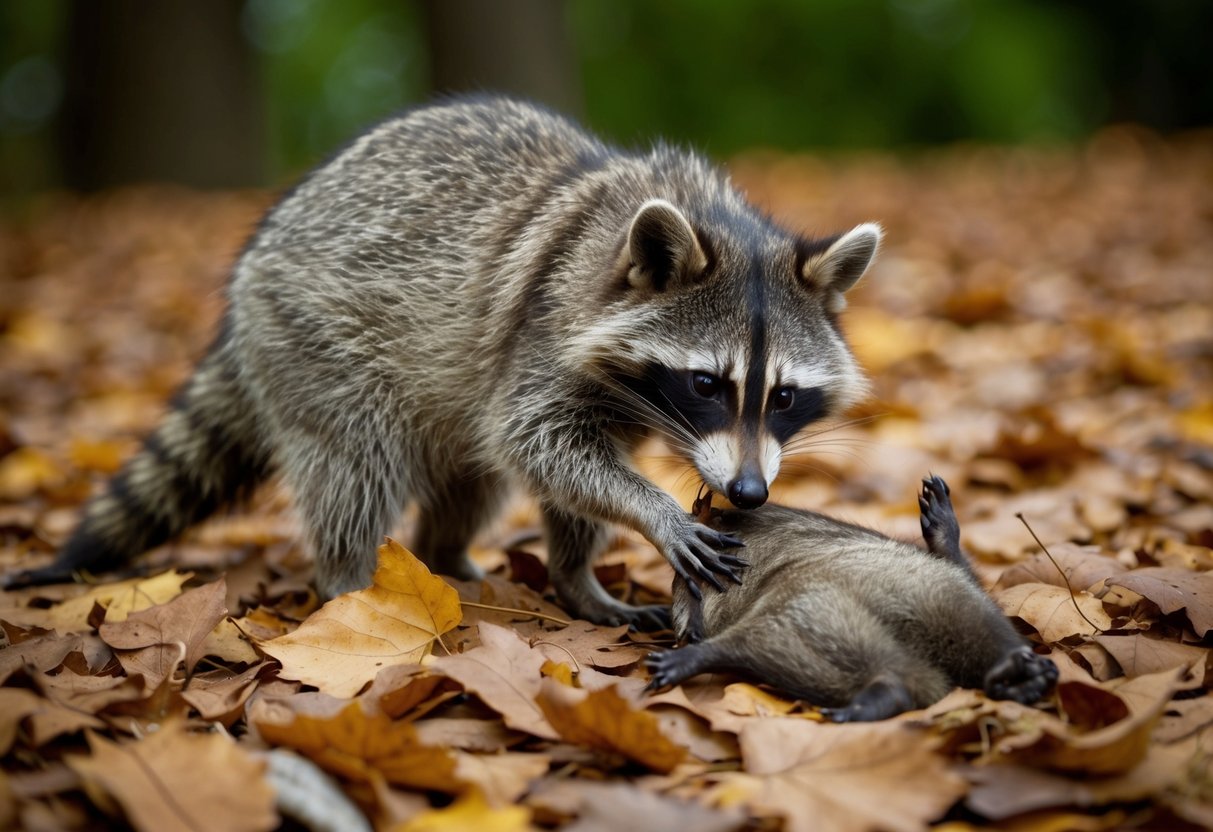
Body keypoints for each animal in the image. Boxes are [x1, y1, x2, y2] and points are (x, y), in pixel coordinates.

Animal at [5, 95, 881, 629]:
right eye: (706, 384)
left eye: (783, 398)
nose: (748, 491)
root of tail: (253, 263)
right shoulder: (544, 326)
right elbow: (543, 444)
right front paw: (651, 510)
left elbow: (559, 479)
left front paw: (577, 570)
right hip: (313, 339)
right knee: (357, 464)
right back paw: (352, 580)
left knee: (472, 475)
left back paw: (449, 555)